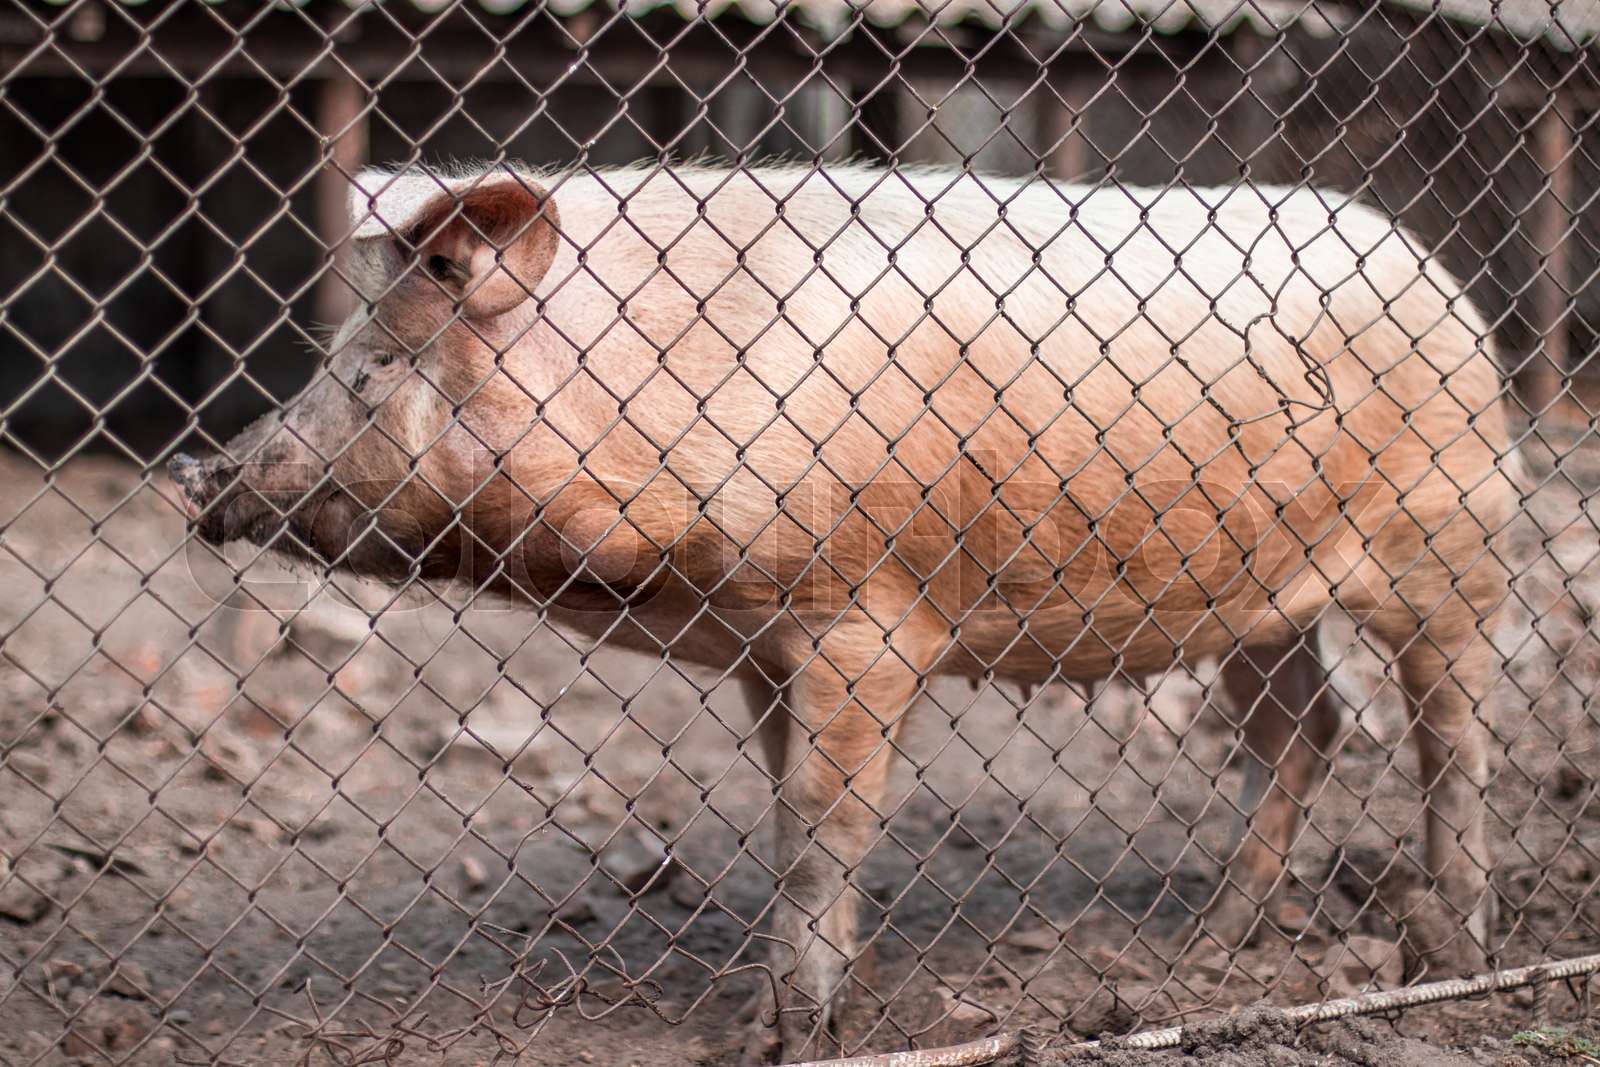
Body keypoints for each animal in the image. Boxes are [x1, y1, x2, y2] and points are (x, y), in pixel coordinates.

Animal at [170, 162, 1517, 1060]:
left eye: (372, 368)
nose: (198, 473)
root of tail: (1437, 267)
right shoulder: (764, 642)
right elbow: (782, 800)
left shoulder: (860, 613)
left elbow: (824, 817)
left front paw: (788, 1034)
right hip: (1252, 595)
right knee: (1301, 722)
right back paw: (1210, 943)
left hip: (1451, 537)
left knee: (1452, 733)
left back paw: (1455, 949)